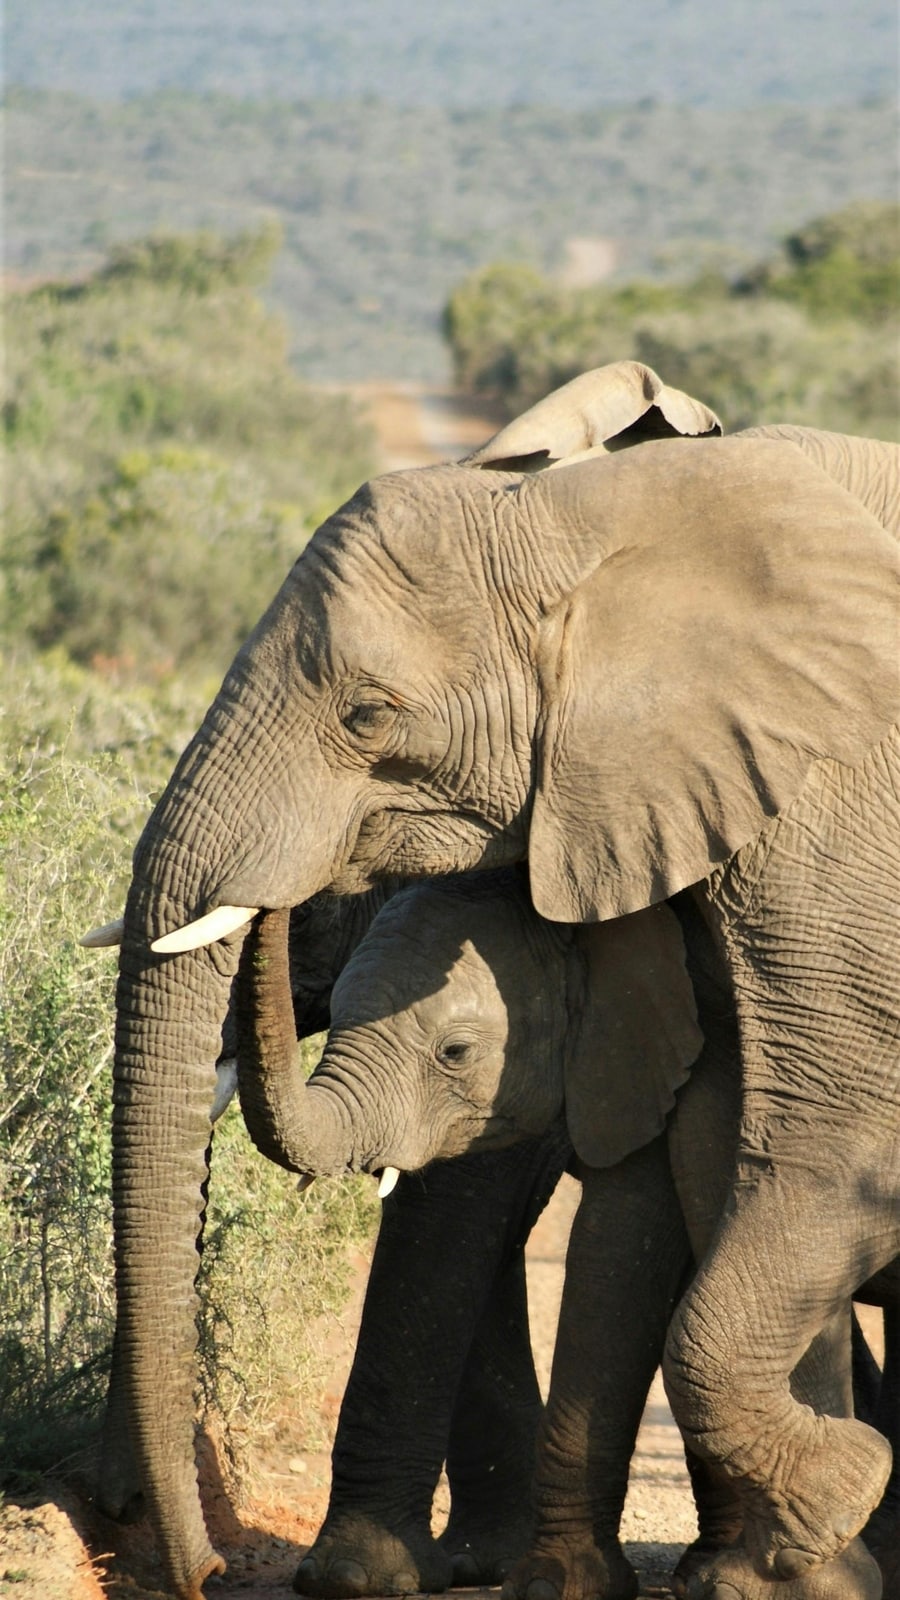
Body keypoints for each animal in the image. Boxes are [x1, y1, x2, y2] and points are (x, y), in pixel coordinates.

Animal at [84, 357, 899, 1599]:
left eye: (368, 714)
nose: (197, 1568)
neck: (604, 518)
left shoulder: (830, 814)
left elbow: (816, 1133)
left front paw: (816, 1525)